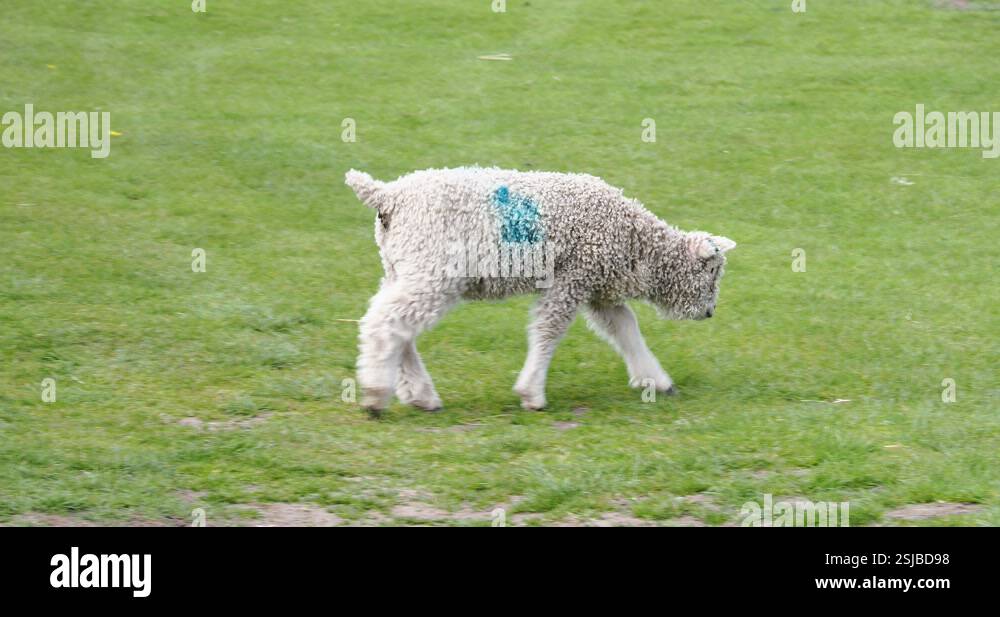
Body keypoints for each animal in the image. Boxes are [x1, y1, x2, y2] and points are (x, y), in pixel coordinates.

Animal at [345, 167, 736, 414]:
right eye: (712, 272)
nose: (710, 312)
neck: (634, 242)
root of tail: (388, 195)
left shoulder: (596, 285)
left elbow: (625, 329)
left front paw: (656, 380)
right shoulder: (572, 277)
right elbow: (549, 331)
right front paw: (532, 393)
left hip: (402, 268)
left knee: (399, 328)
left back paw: (420, 396)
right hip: (431, 269)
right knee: (386, 323)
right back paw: (376, 396)